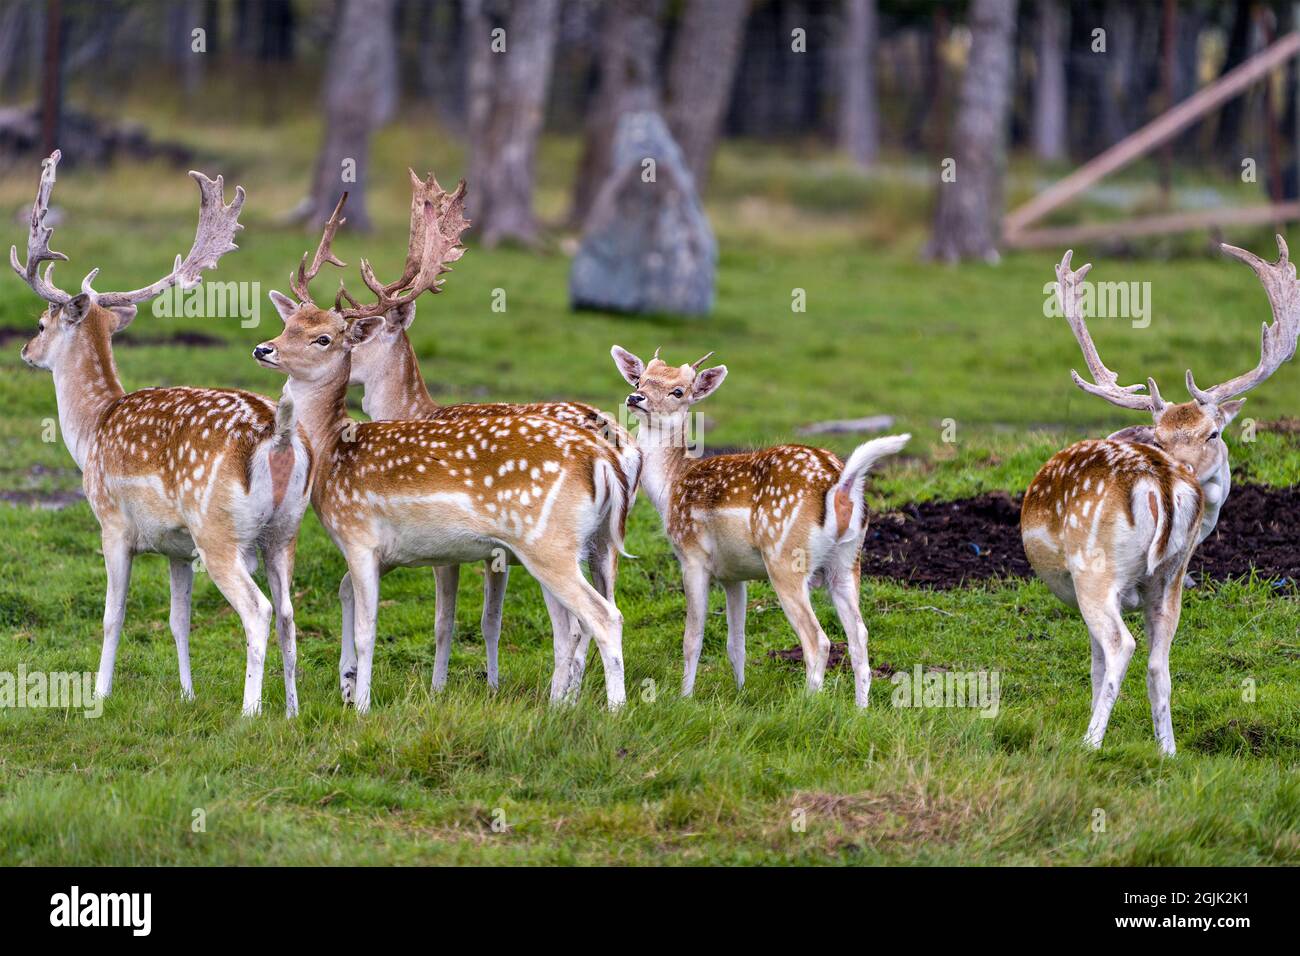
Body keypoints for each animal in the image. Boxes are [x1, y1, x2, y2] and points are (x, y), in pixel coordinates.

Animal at [14, 150, 313, 716]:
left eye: (41, 323)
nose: (23, 352)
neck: (92, 429)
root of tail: (278, 433)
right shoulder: (176, 547)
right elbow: (179, 620)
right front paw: (187, 693)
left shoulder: (111, 523)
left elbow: (113, 615)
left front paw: (100, 694)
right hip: (284, 531)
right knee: (288, 612)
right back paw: (290, 710)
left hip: (219, 530)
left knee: (259, 610)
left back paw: (250, 712)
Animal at [253, 172, 630, 712]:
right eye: (288, 325)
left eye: (325, 338)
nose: (263, 348)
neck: (331, 451)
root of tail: (604, 456)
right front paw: (351, 687)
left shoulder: (362, 537)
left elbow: (372, 628)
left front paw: (361, 704)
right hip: (591, 543)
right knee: (582, 620)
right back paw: (562, 704)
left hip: (549, 543)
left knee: (601, 618)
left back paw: (610, 711)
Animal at [610, 346, 910, 705]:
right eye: (639, 379)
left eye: (678, 391)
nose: (635, 397)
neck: (671, 486)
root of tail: (841, 486)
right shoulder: (733, 574)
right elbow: (735, 642)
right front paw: (740, 692)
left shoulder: (692, 556)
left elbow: (692, 638)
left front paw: (684, 698)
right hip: (848, 559)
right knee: (859, 635)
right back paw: (860, 709)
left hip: (785, 556)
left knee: (818, 640)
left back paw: (807, 705)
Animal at [1021, 240, 1299, 755]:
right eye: (1161, 437)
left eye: (1213, 433)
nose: (1185, 469)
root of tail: (1162, 486)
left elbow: (1095, 665)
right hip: (1169, 579)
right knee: (1159, 663)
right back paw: (1167, 751)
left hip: (1094, 569)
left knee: (1121, 646)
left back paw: (1089, 743)